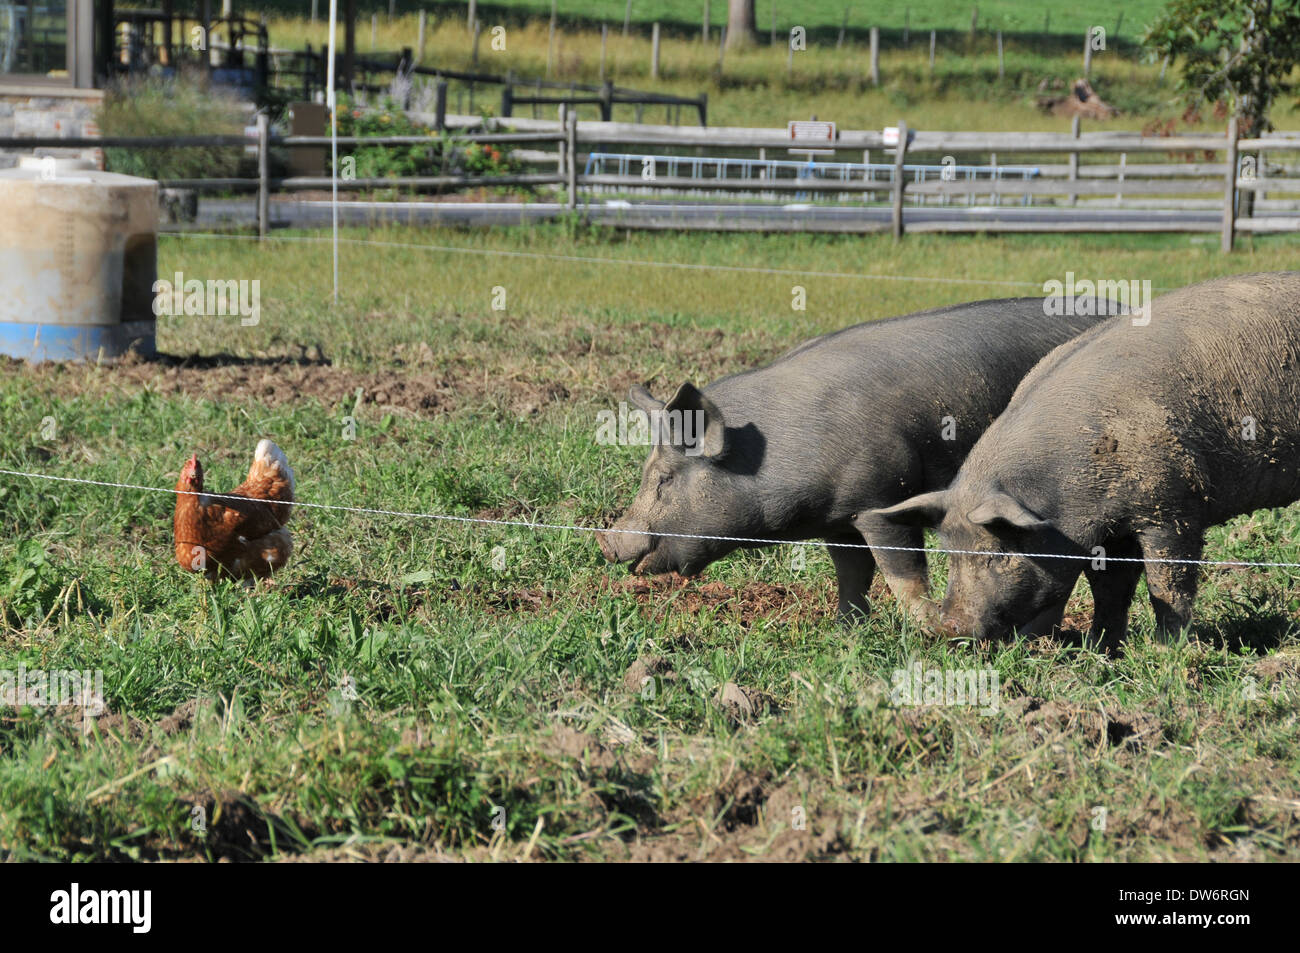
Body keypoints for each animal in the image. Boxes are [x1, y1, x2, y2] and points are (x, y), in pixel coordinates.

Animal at [596, 297, 1112, 623]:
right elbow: (852, 577)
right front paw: (847, 630)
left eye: (665, 479)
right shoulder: (838, 520)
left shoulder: (881, 497)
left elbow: (902, 574)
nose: (609, 544)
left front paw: (925, 627)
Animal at [874, 272, 1300, 649]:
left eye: (999, 553)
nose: (950, 627)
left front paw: (1168, 652)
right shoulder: (1110, 532)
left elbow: (1168, 583)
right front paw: (1100, 649)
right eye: (949, 553)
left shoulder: (1171, 507)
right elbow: (1110, 589)